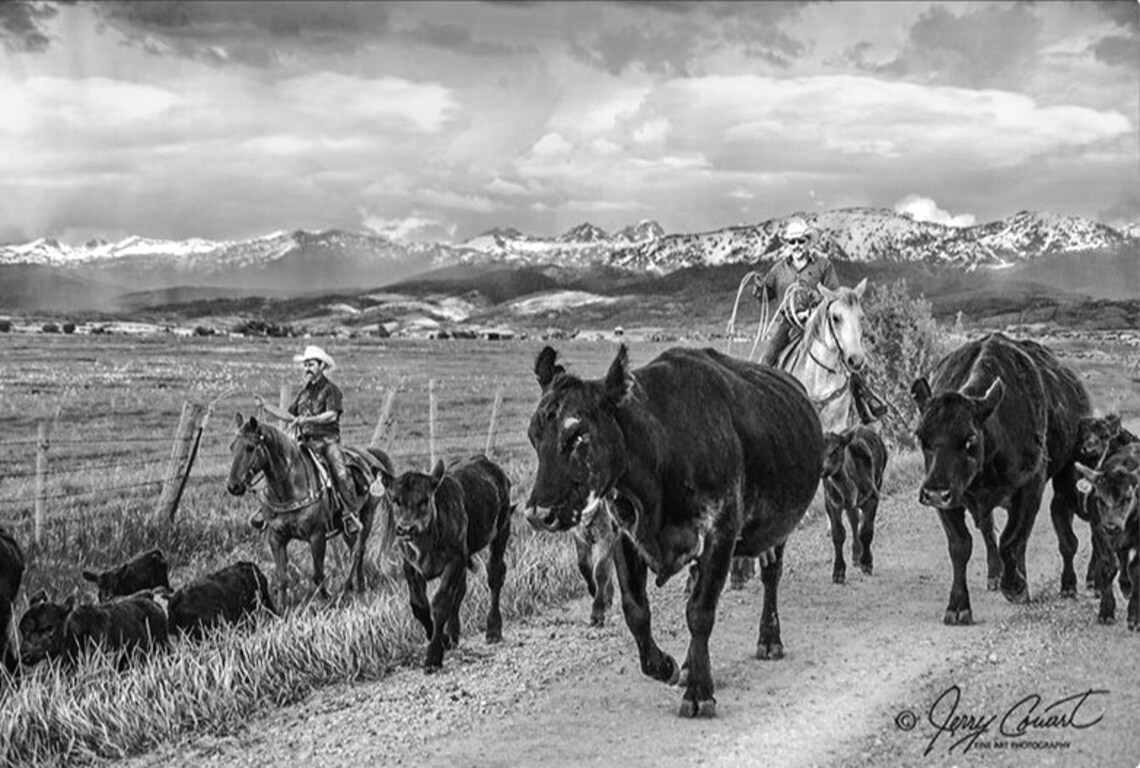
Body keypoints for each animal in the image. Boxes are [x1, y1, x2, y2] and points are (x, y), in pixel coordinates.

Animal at [376, 454, 513, 672]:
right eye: (396, 501)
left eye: (424, 500)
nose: (406, 528)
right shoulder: (410, 566)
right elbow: (420, 607)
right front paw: (444, 639)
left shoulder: (454, 561)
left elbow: (440, 604)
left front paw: (433, 655)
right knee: (460, 591)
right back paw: (454, 633)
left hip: (502, 528)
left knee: (495, 576)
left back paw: (493, 628)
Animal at [525, 344, 823, 718]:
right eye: (534, 436)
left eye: (577, 435)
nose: (538, 514)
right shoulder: (624, 535)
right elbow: (636, 611)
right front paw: (664, 665)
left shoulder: (721, 532)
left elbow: (700, 612)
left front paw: (699, 691)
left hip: (778, 527)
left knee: (771, 575)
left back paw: (769, 640)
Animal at [821, 426, 889, 585]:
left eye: (836, 450)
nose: (822, 468)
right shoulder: (831, 502)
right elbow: (838, 534)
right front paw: (838, 572)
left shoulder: (872, 497)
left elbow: (866, 531)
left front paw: (867, 563)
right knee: (853, 519)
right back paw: (856, 554)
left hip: (879, 480)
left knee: (857, 520)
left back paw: (859, 556)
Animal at [911, 333, 1091, 625]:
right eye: (921, 436)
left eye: (970, 439)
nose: (936, 491)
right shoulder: (948, 501)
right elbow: (961, 546)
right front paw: (958, 606)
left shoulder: (1030, 486)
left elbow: (1012, 541)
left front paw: (1015, 587)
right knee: (988, 530)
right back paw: (996, 575)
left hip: (1066, 473)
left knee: (1061, 539)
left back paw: (1064, 585)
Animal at [1075, 442, 1140, 630]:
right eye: (1099, 499)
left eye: (1127, 498)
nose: (1111, 526)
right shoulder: (1099, 531)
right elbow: (1108, 566)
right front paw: (1106, 611)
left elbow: (1136, 569)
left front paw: (1134, 616)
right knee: (1122, 556)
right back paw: (1125, 585)